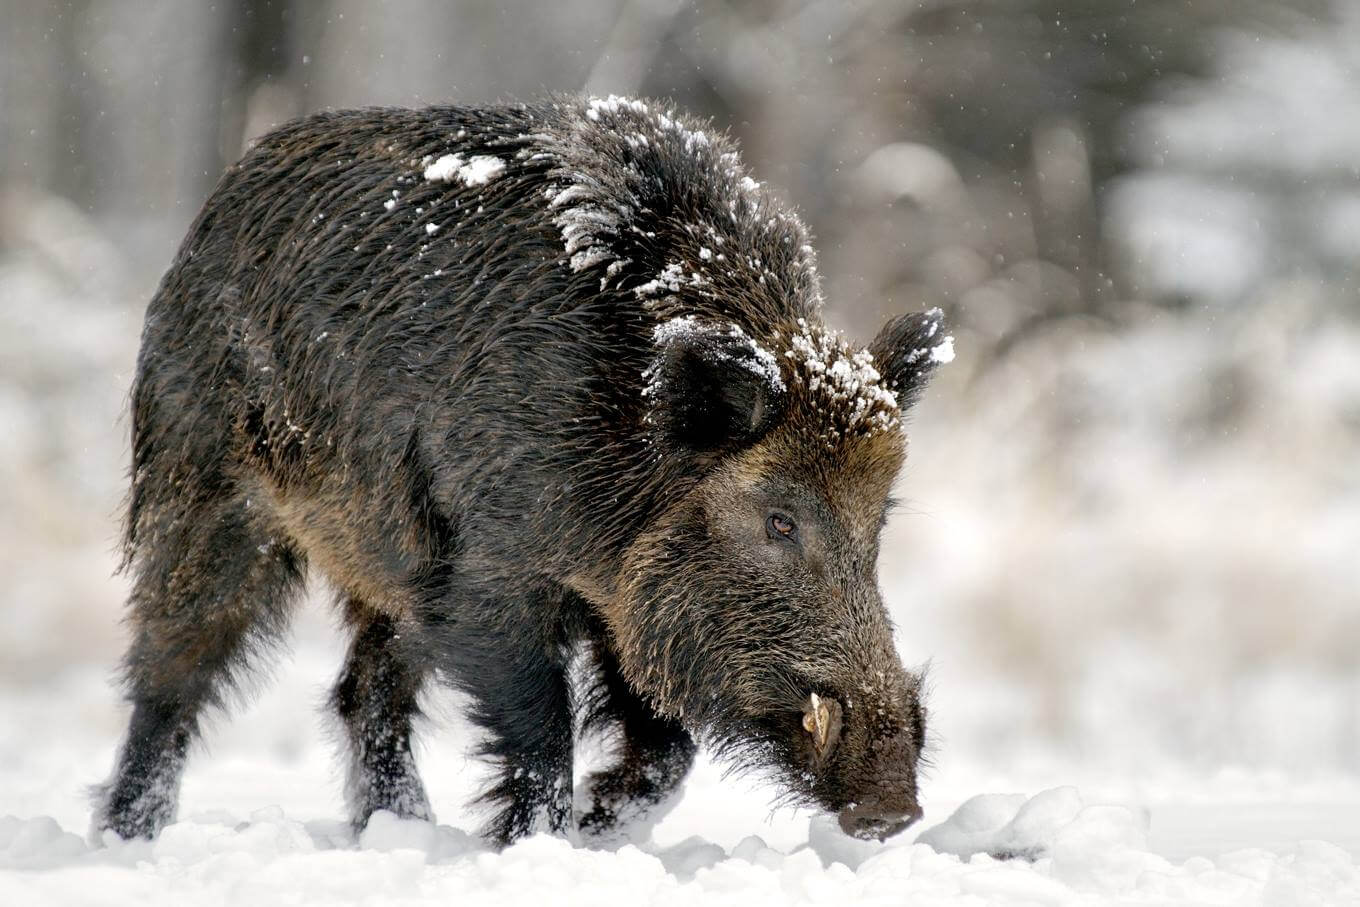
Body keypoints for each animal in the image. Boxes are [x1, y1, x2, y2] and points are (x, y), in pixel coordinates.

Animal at [93, 95, 952, 848]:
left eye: (877, 523)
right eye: (780, 519)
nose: (891, 807)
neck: (623, 427)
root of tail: (218, 204)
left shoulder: (617, 606)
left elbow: (668, 752)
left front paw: (599, 822)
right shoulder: (492, 579)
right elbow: (544, 734)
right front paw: (545, 838)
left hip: (395, 567)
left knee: (361, 689)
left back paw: (403, 830)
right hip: (206, 490)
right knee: (170, 670)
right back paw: (129, 835)